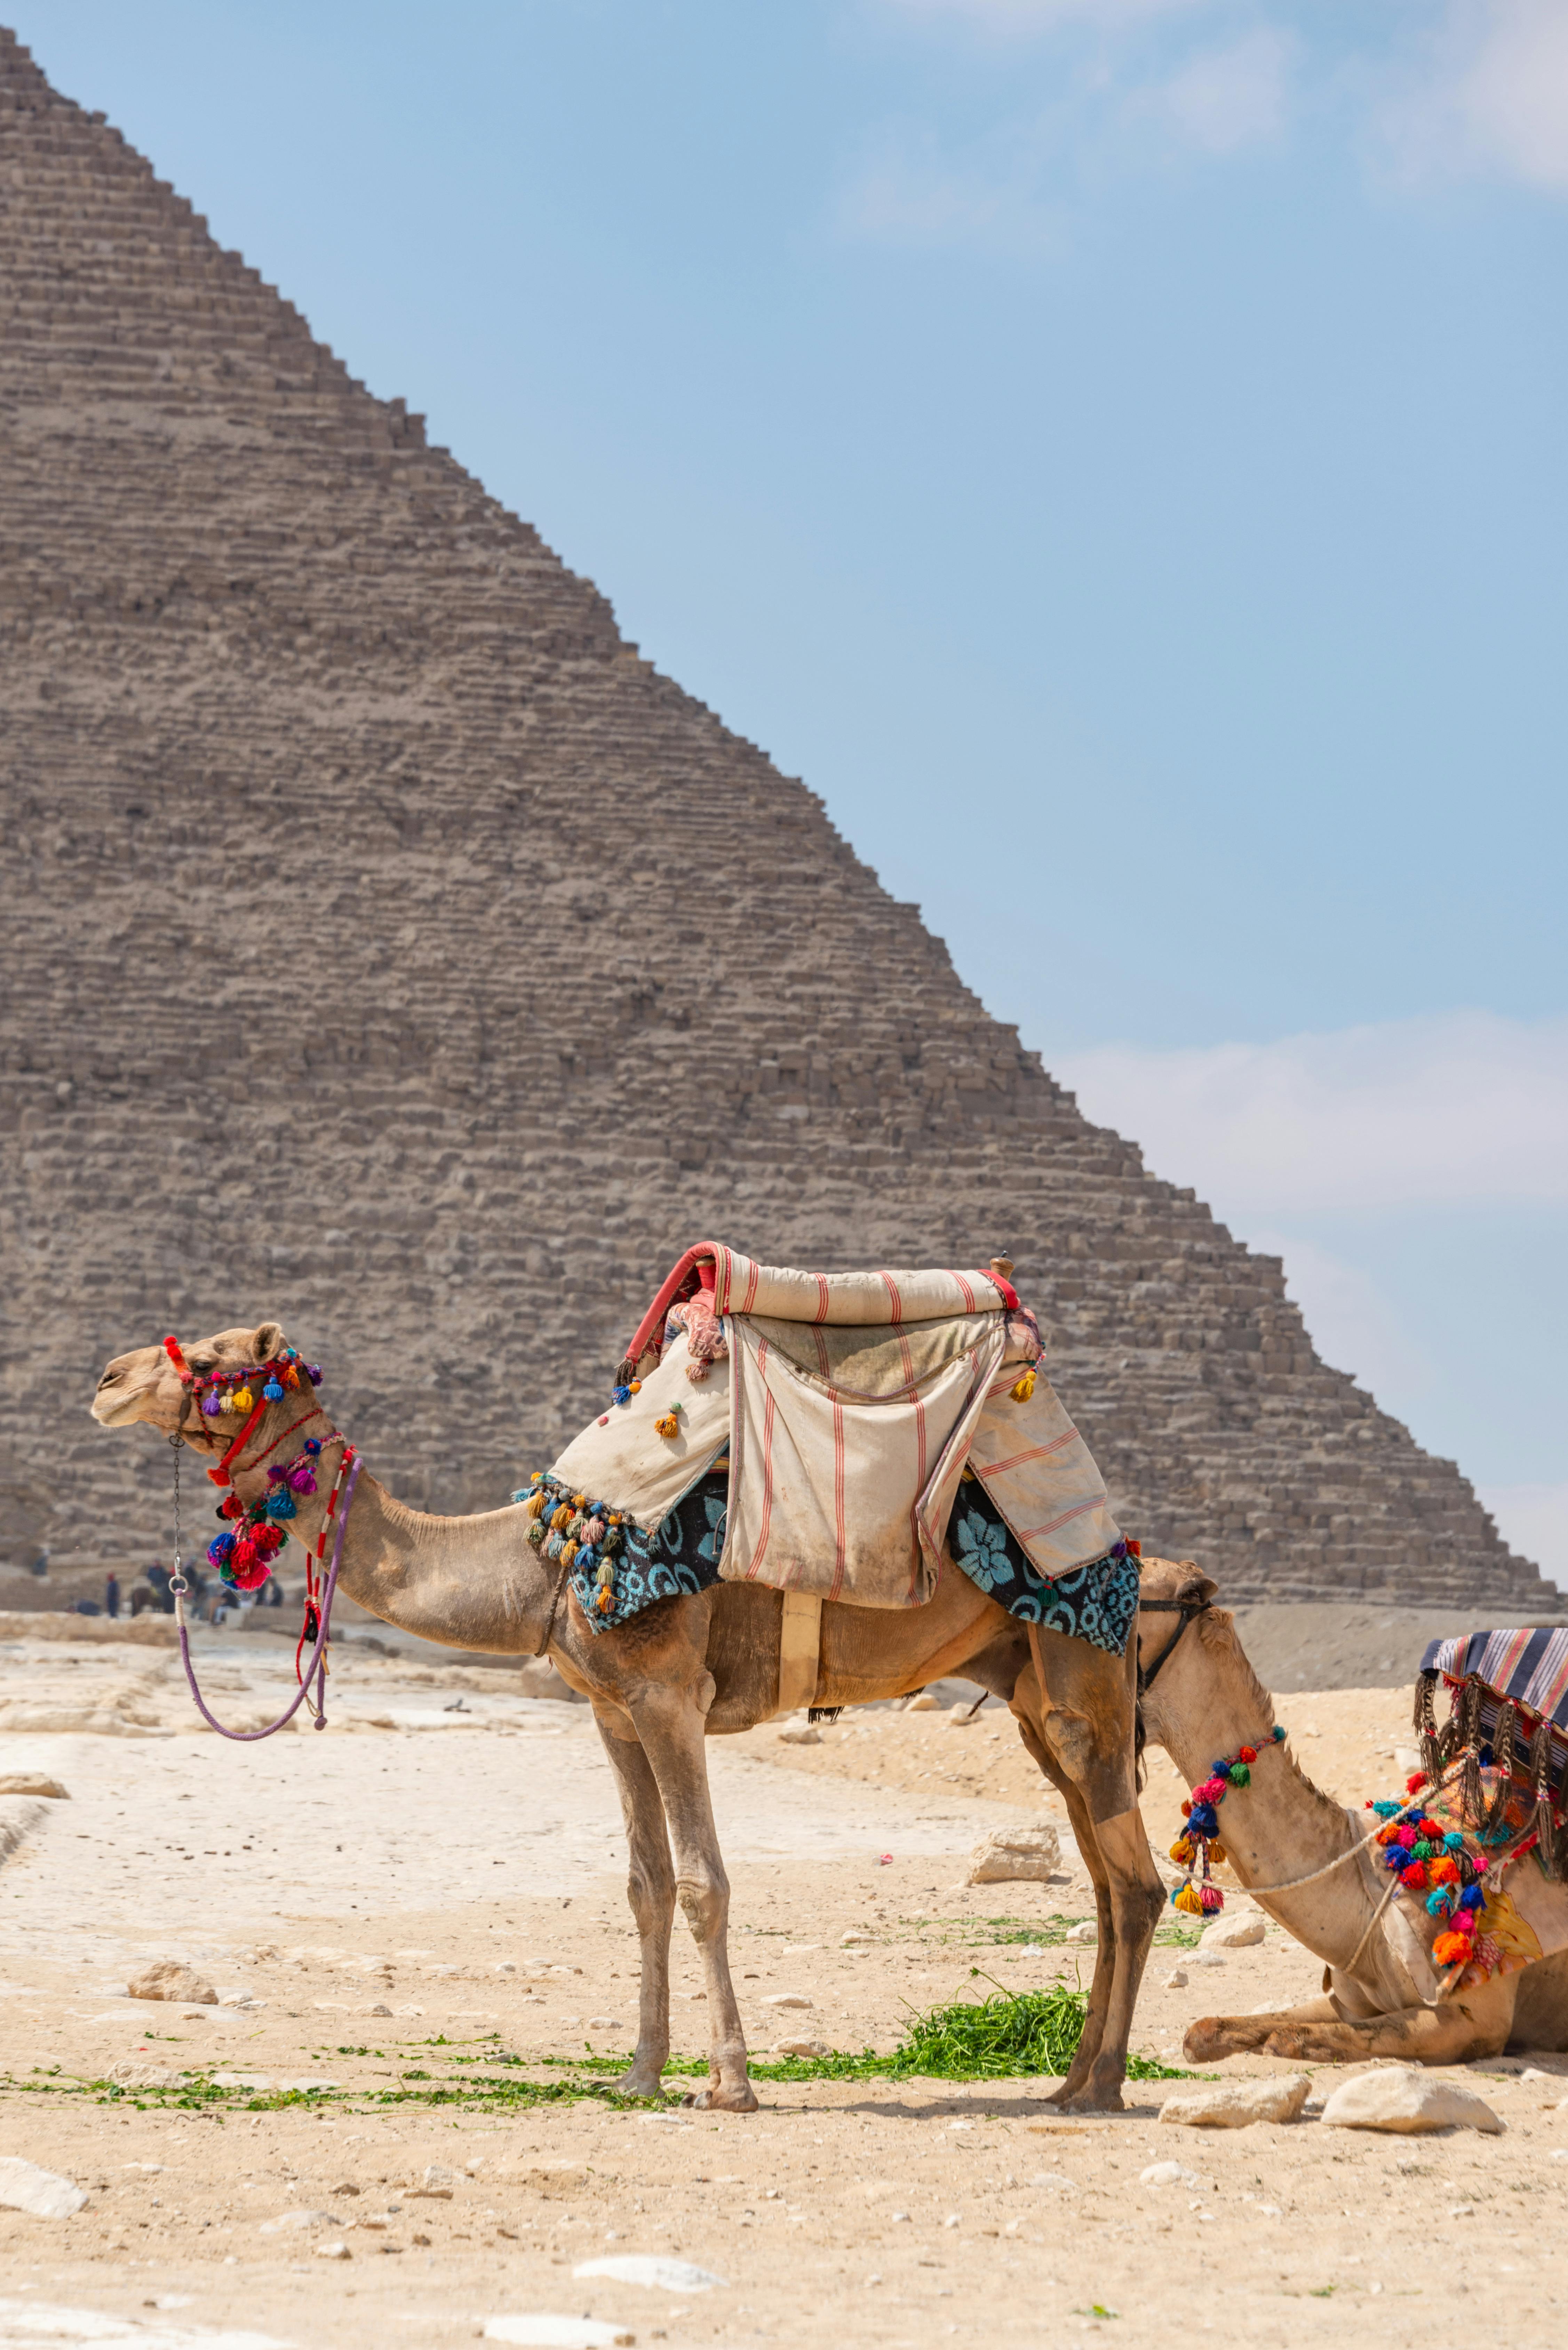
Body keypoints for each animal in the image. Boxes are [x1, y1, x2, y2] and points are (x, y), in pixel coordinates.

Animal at [91, 1318, 1167, 2111]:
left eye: (219, 1360)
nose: (104, 1378)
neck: (540, 1563)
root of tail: (1122, 1541)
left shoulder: (666, 1695)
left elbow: (701, 1884)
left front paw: (728, 2084)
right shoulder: (610, 1711)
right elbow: (644, 1888)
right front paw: (640, 2072)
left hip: (1081, 1675)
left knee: (1135, 1882)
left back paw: (1101, 2084)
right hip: (1030, 1699)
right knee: (1104, 1880)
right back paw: (1071, 2078)